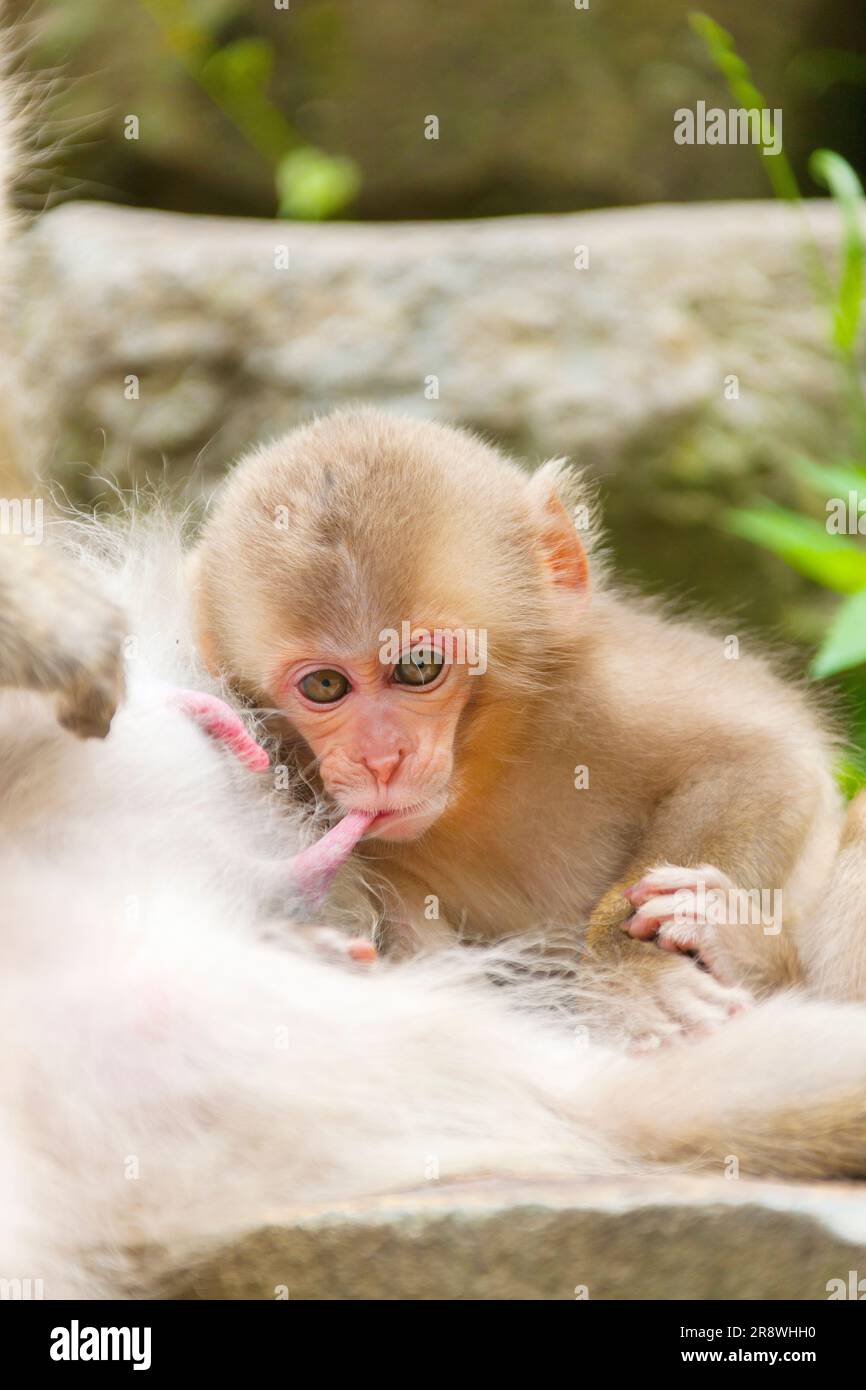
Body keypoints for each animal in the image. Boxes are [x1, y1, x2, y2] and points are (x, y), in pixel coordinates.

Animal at [190, 406, 861, 1044]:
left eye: (418, 666)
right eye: (325, 686)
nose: (380, 759)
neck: (480, 771)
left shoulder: (599, 687)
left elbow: (764, 759)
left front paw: (632, 971)